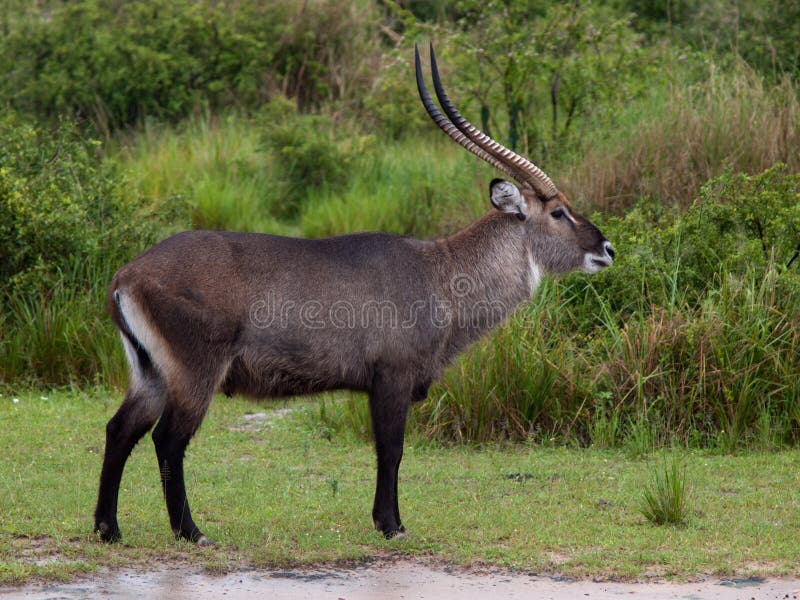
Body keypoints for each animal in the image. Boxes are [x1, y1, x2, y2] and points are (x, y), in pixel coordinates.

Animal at [93, 44, 614, 545]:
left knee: (120, 429)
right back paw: (191, 532)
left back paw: (108, 530)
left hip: (150, 372)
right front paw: (391, 525)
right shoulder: (392, 376)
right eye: (560, 212)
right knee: (168, 440)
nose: (606, 248)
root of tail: (127, 274)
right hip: (195, 373)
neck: (442, 273)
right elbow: (392, 448)